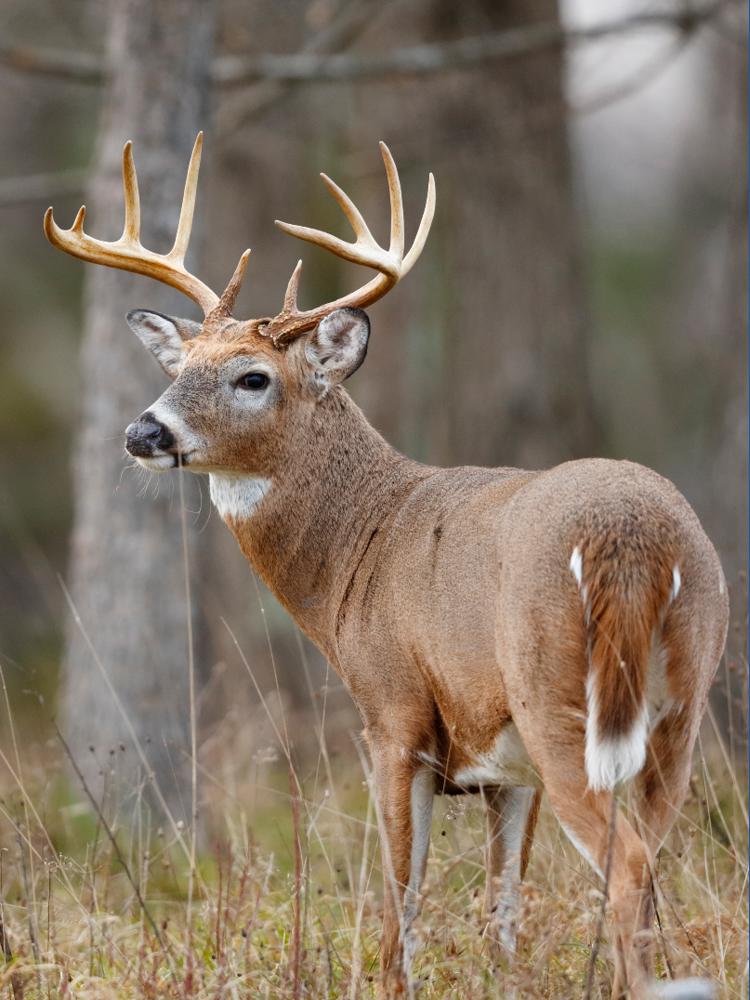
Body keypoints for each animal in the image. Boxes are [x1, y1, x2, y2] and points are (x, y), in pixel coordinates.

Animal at [45, 134, 729, 1000]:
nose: (143, 432)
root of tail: (631, 537)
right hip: (681, 706)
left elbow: (399, 896)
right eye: (179, 367)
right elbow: (503, 909)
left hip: (558, 697)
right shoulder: (504, 766)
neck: (358, 550)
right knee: (650, 853)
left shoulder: (393, 710)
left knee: (630, 867)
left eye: (252, 376)